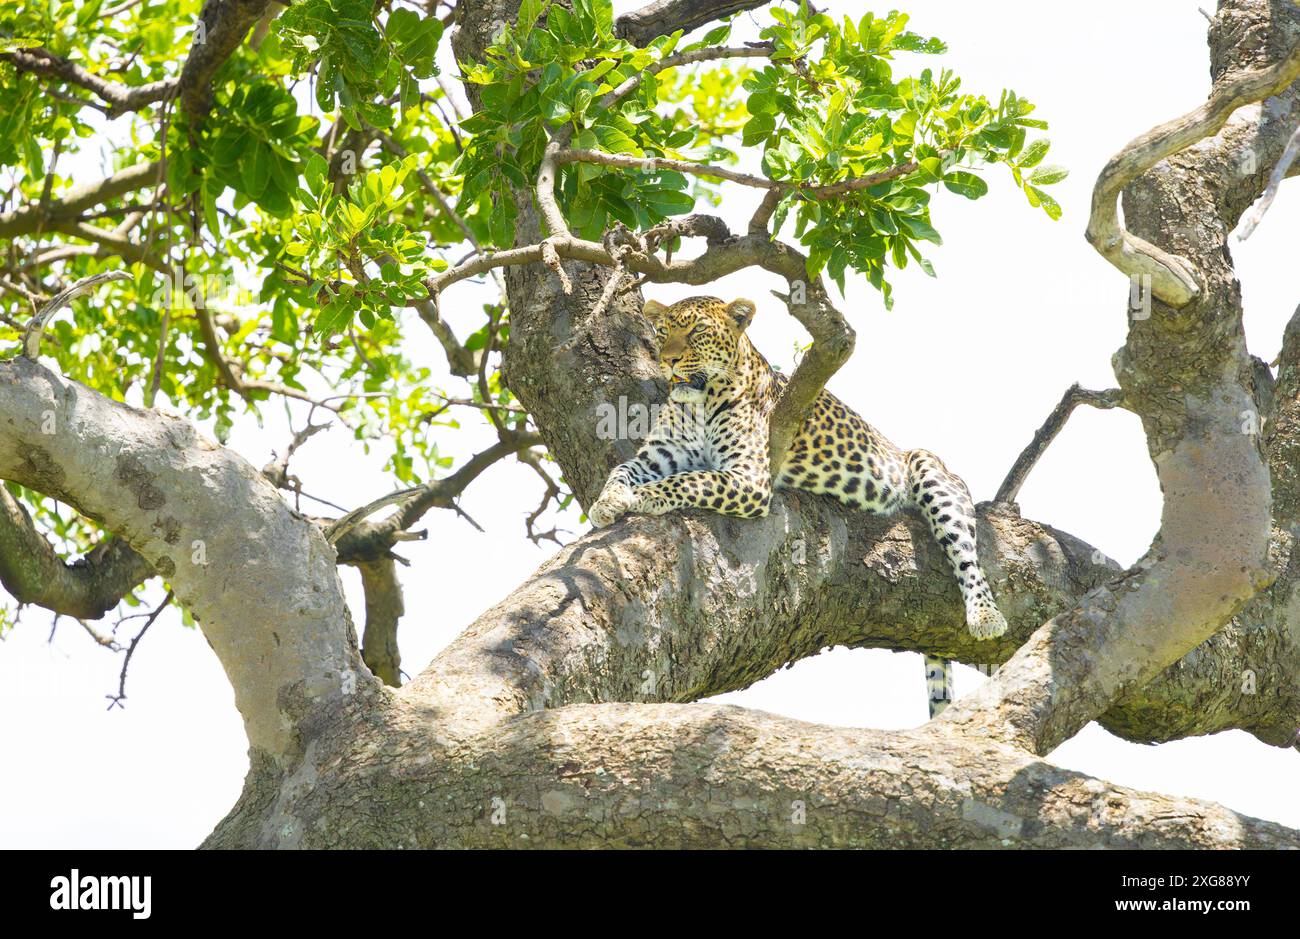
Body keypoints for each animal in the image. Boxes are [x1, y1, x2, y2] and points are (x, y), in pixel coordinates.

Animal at [588, 296, 1008, 717]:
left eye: (698, 332)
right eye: (663, 332)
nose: (668, 360)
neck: (702, 404)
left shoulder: (748, 478)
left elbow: (691, 480)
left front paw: (645, 496)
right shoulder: (659, 455)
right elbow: (622, 470)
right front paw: (607, 502)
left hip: (932, 473)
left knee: (965, 553)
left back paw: (986, 615)